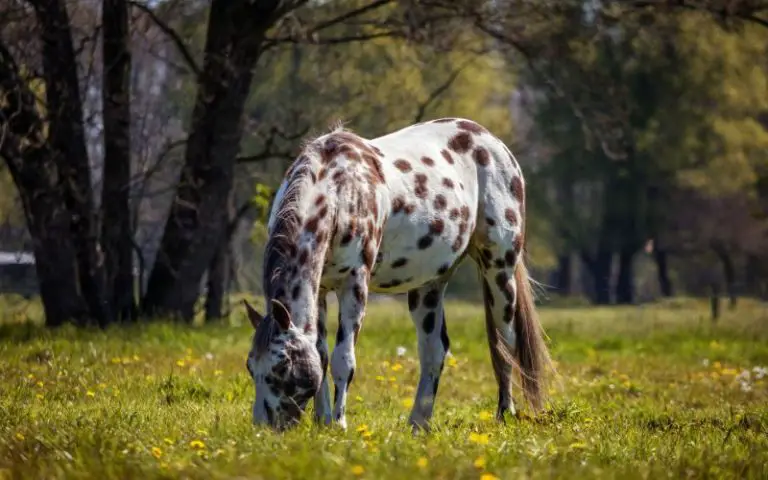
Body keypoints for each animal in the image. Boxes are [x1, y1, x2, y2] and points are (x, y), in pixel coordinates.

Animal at [243, 117, 553, 431]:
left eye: (282, 365)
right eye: (250, 366)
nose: (264, 427)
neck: (339, 191)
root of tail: (493, 142)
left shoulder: (354, 285)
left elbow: (344, 360)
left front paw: (339, 424)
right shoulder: (320, 291)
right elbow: (321, 355)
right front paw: (323, 421)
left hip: (499, 270)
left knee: (504, 344)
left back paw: (505, 414)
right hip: (429, 286)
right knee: (434, 352)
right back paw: (418, 424)